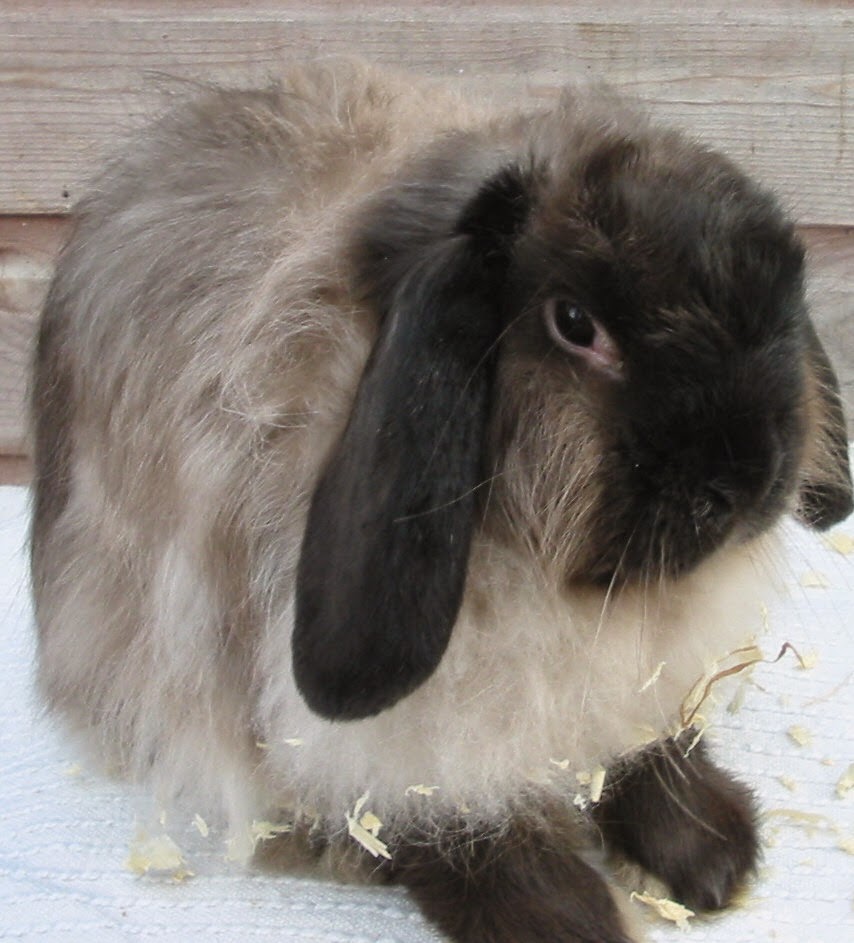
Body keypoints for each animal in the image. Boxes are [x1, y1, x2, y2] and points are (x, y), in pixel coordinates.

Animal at [29, 59, 852, 943]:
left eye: (778, 303)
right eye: (574, 322)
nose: (749, 477)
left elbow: (643, 744)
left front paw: (709, 850)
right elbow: (446, 817)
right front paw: (562, 914)